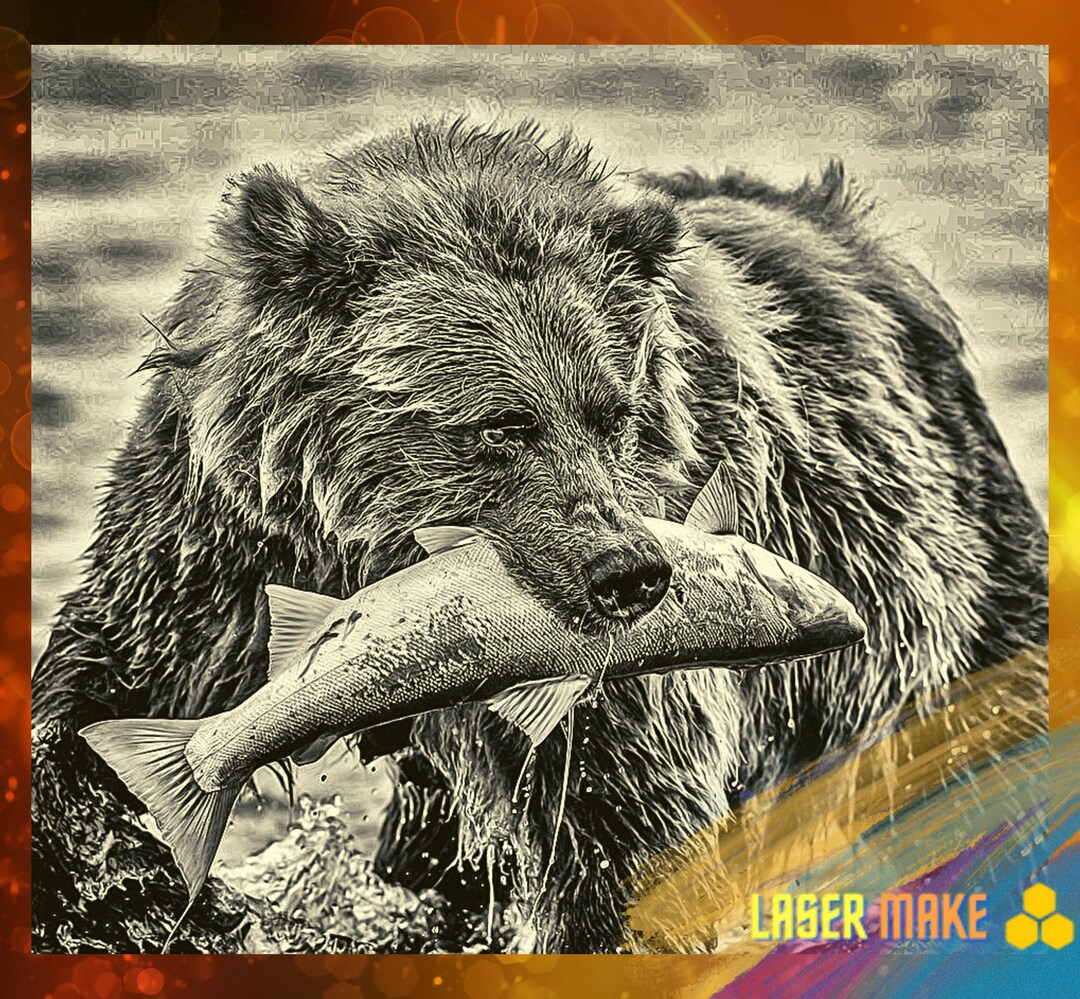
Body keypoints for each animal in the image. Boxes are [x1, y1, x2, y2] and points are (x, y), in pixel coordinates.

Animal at [31, 119, 1048, 954]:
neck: (369, 544)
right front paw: (111, 869)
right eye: (502, 425)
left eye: (612, 412)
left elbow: (620, 829)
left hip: (934, 603)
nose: (631, 572)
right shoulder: (221, 540)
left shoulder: (614, 677)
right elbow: (101, 684)